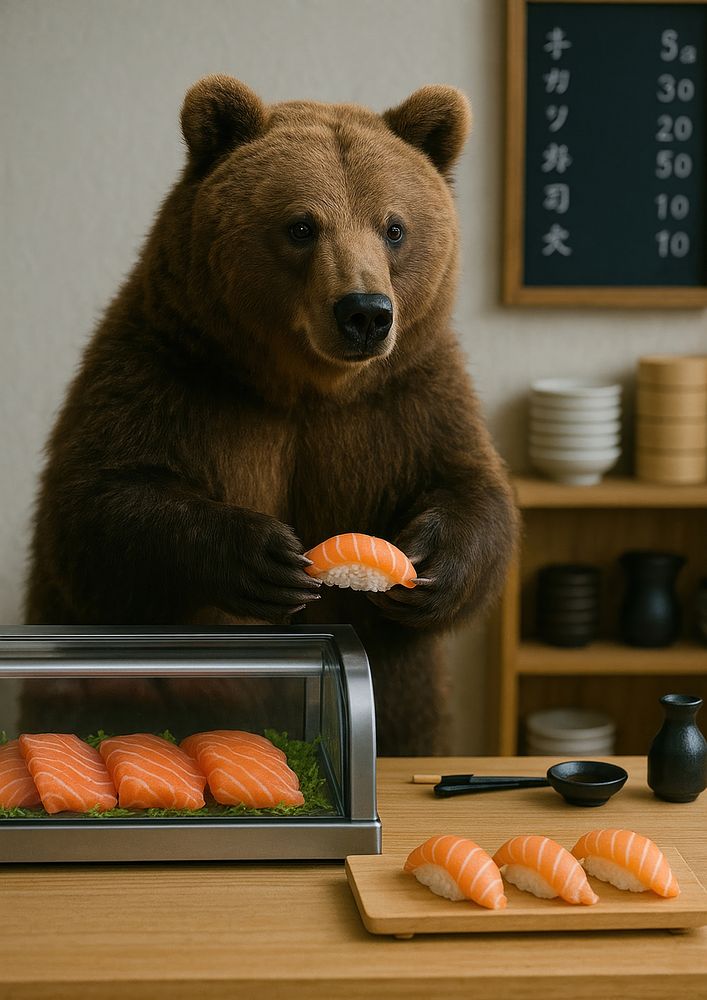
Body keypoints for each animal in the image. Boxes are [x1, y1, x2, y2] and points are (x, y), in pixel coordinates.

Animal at [24, 75, 519, 755]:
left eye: (394, 227)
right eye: (302, 225)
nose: (365, 311)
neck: (305, 389)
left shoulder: (406, 398)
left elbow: (472, 485)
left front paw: (432, 558)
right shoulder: (168, 375)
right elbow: (94, 510)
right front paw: (263, 557)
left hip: (410, 700)